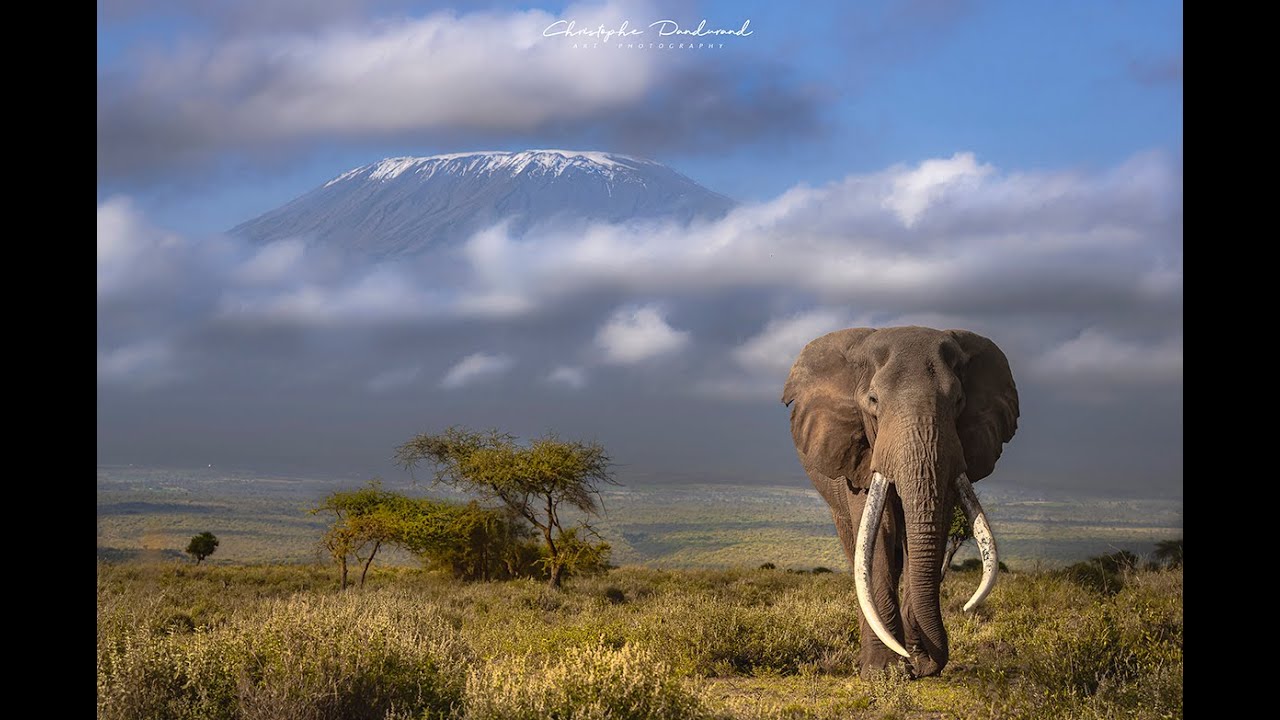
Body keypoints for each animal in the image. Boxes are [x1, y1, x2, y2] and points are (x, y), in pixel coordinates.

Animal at [782, 326, 1018, 679]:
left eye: (959, 401)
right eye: (873, 401)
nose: (928, 666)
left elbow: (931, 525)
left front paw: (914, 661)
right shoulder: (860, 453)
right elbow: (879, 532)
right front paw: (884, 673)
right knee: (858, 549)